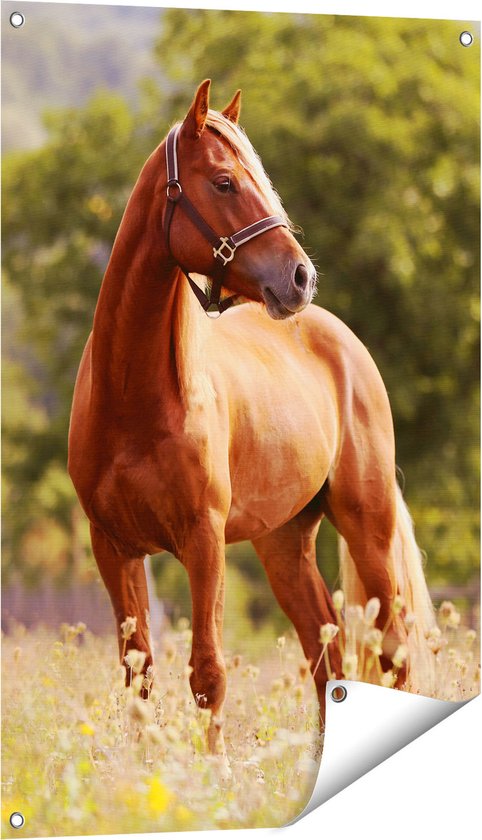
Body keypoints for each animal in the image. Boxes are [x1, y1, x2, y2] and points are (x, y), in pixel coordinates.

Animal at [68, 80, 435, 755]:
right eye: (223, 182)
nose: (300, 276)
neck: (134, 397)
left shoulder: (203, 540)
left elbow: (208, 673)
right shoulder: (113, 547)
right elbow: (139, 676)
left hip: (366, 525)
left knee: (393, 651)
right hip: (283, 542)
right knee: (326, 652)